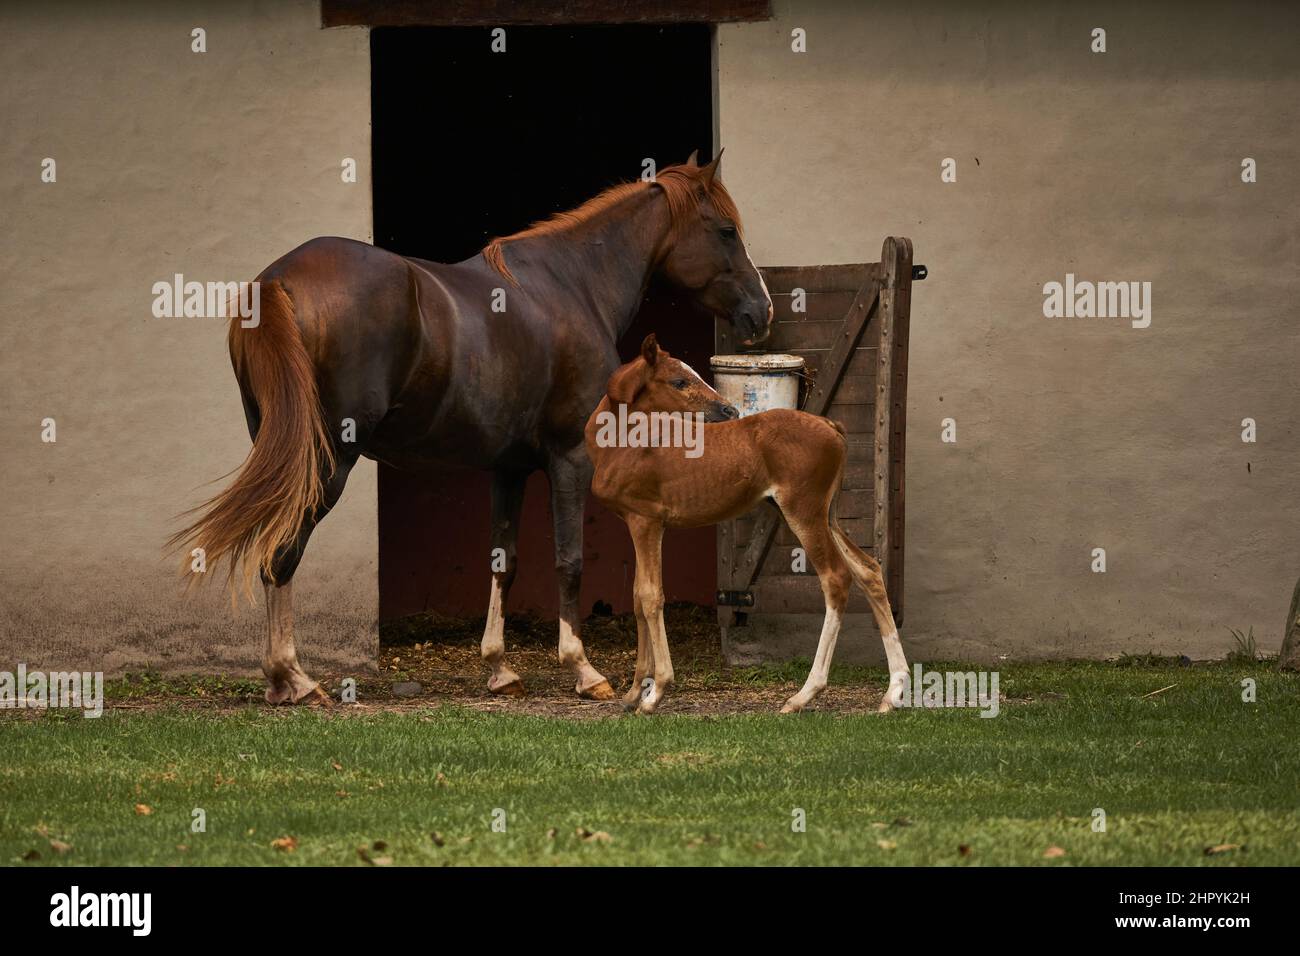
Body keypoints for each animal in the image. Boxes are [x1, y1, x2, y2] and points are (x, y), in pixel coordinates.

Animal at [172, 153, 773, 705]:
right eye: (725, 230)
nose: (762, 311)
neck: (573, 286)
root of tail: (279, 279)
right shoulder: (569, 459)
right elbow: (569, 560)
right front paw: (584, 670)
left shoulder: (508, 469)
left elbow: (503, 561)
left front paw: (499, 668)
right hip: (327, 461)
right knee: (283, 551)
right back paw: (293, 678)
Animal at [585, 335, 910, 714]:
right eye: (679, 381)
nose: (728, 410)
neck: (621, 443)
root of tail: (832, 427)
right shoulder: (640, 524)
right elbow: (638, 597)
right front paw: (635, 691)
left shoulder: (646, 521)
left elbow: (651, 596)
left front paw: (656, 693)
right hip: (825, 514)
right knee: (868, 570)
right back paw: (893, 690)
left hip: (803, 511)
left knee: (836, 578)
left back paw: (804, 694)